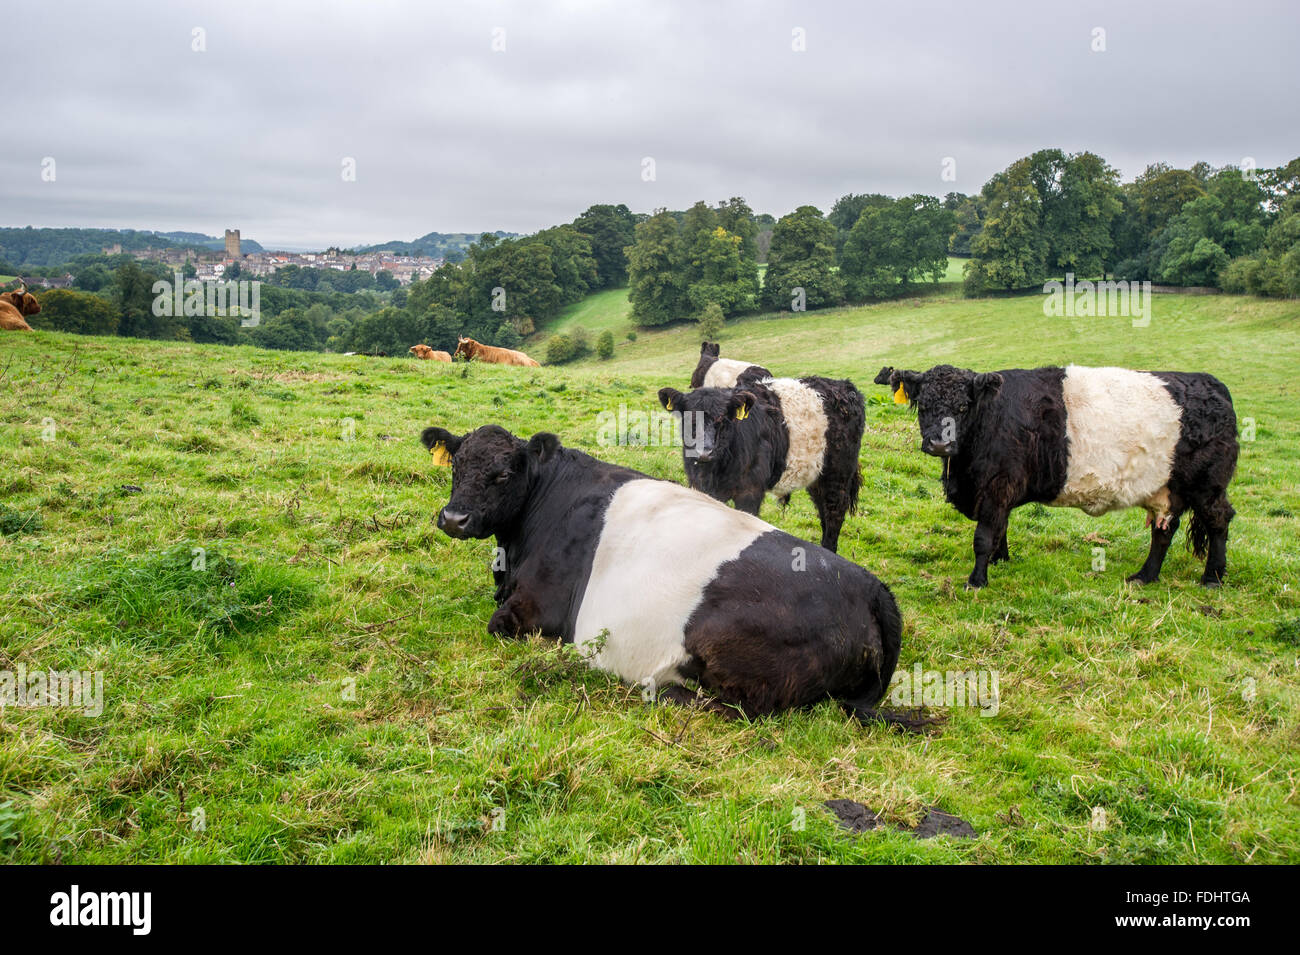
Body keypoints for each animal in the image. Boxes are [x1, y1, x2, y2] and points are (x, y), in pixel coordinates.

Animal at [421, 423, 906, 724]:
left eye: (503, 474)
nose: (454, 518)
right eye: (457, 465)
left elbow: (499, 626)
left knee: (744, 709)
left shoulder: (534, 611)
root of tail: (871, 586)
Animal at [657, 375, 865, 553]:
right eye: (689, 419)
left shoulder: (750, 492)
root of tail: (845, 386)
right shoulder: (700, 487)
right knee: (823, 512)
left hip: (838, 474)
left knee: (834, 512)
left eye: (722, 419)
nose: (704, 452)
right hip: (817, 477)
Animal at [877, 363, 1239, 589]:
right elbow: (1001, 530)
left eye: (963, 407)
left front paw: (977, 580)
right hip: (1166, 490)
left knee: (1219, 521)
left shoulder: (996, 487)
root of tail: (1214, 385)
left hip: (1207, 486)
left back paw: (1212, 578)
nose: (940, 444)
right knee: (1164, 531)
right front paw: (1000, 561)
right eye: (924, 406)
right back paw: (1144, 576)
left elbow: (983, 537)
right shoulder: (997, 492)